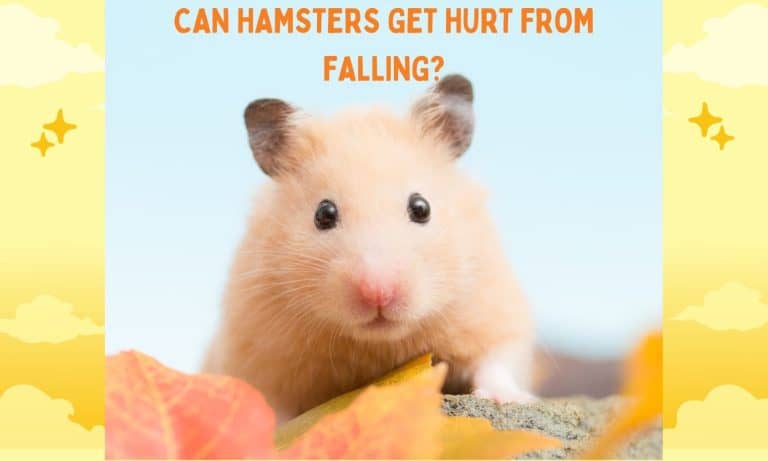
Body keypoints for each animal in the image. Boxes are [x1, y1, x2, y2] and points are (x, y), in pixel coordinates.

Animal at [203, 75, 536, 422]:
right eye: (324, 214)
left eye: (421, 208)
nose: (379, 293)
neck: (378, 345)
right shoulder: (256, 347)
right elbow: (272, 401)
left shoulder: (493, 310)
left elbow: (495, 361)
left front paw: (507, 400)